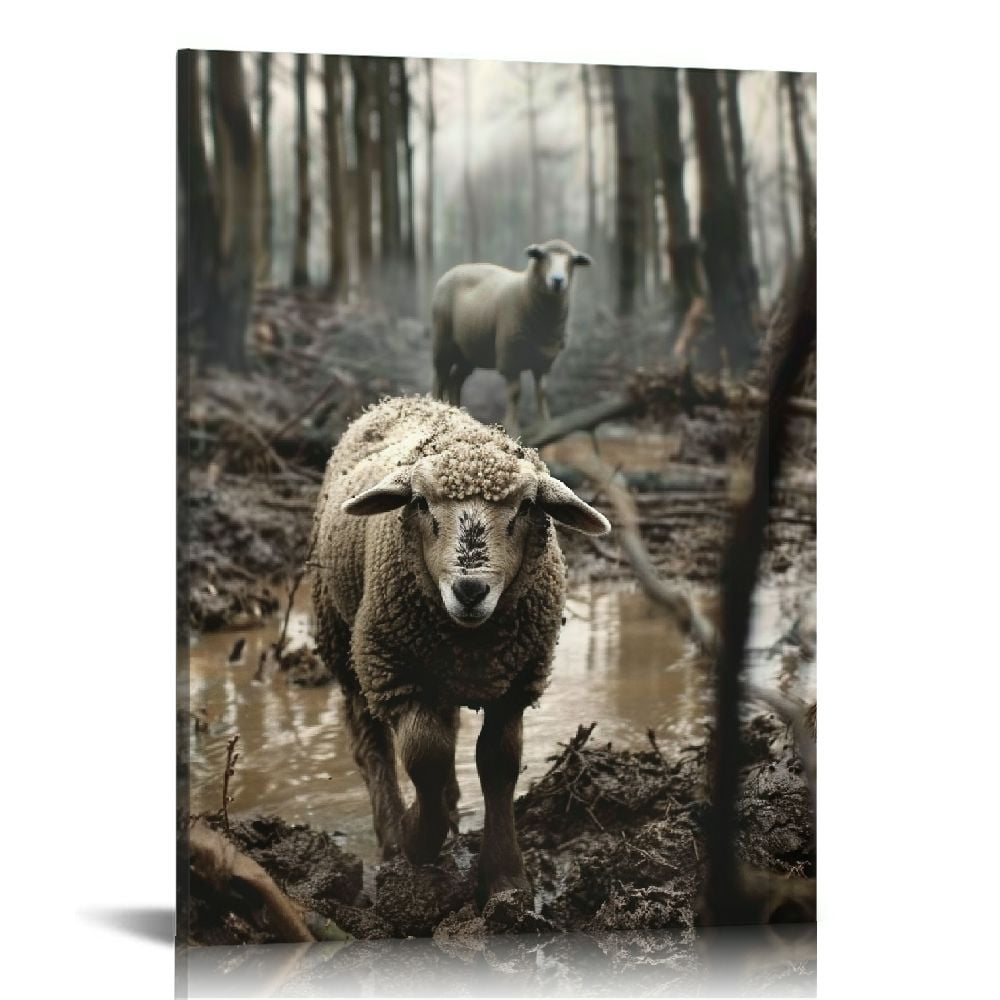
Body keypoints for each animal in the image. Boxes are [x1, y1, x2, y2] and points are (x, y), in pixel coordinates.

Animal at [310, 395, 609, 904]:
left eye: (525, 506)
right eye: (420, 502)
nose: (470, 589)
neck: (471, 638)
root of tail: (402, 400)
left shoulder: (515, 685)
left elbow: (498, 764)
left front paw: (506, 877)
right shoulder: (397, 674)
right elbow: (426, 755)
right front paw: (417, 840)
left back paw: (449, 811)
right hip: (347, 644)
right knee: (373, 748)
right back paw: (390, 838)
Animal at [431, 238, 592, 438]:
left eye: (572, 261)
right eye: (542, 256)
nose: (557, 280)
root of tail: (453, 270)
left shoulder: (544, 359)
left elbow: (542, 391)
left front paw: (545, 425)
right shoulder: (510, 357)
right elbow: (515, 393)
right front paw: (513, 429)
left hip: (468, 353)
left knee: (454, 382)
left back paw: (460, 415)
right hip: (443, 341)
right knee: (440, 377)